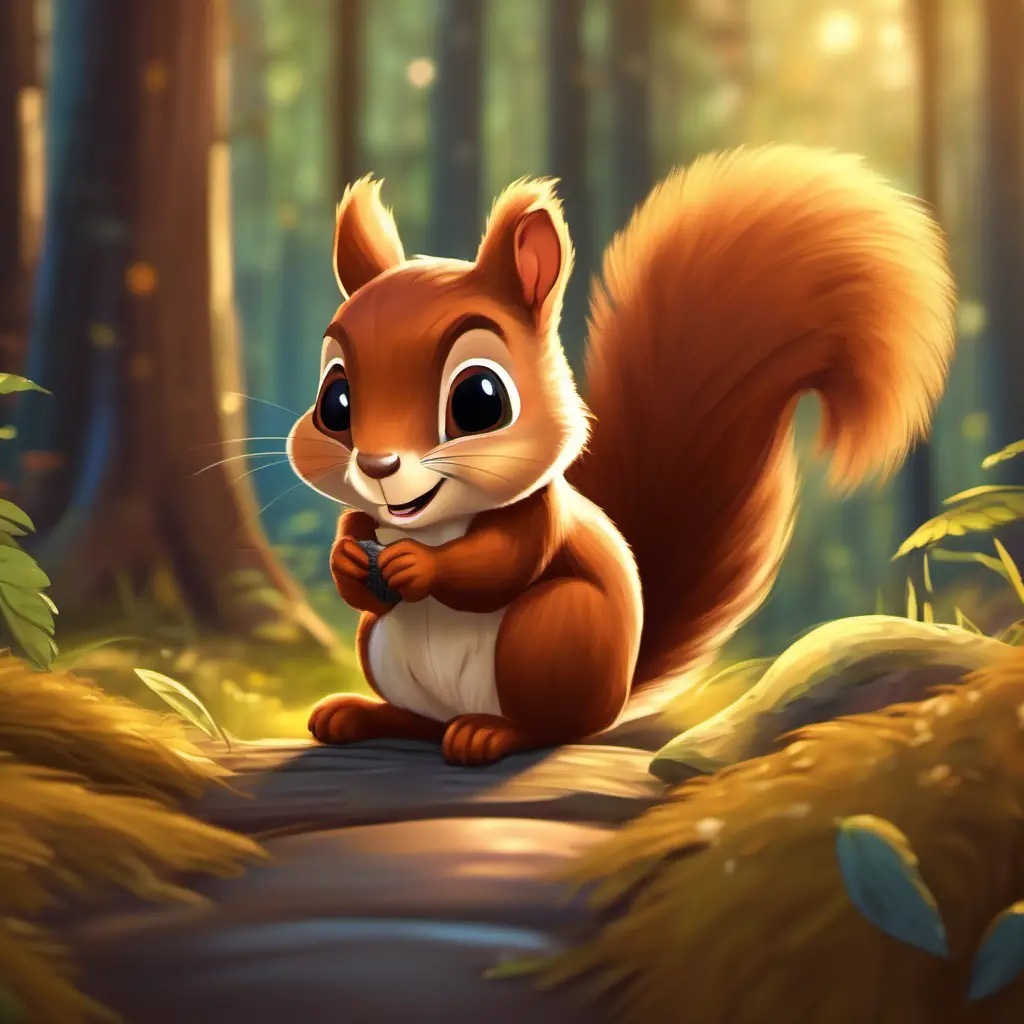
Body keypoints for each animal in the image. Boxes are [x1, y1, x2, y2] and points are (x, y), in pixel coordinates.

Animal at [287, 144, 956, 767]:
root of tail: (616, 694)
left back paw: (490, 733)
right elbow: (356, 558)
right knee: (421, 718)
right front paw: (348, 562)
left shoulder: (541, 519)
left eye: (480, 399)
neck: (427, 525)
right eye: (335, 401)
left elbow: (500, 564)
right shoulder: (369, 522)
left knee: (550, 727)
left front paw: (418, 568)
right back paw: (360, 715)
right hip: (385, 648)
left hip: (552, 633)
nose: (377, 466)